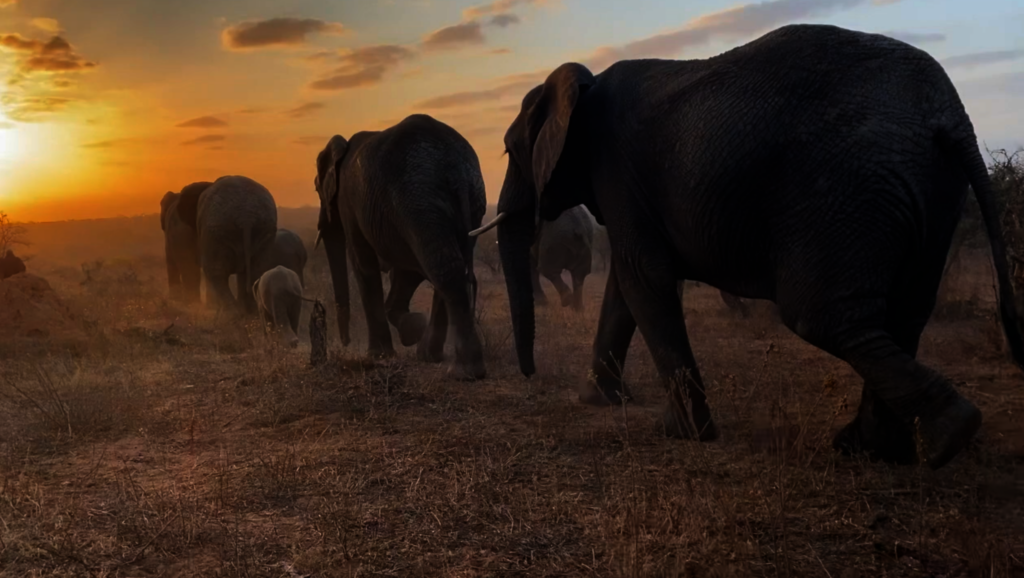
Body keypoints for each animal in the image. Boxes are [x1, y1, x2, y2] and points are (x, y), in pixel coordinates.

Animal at [196, 175, 278, 314]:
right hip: (265, 229)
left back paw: (233, 316)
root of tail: (246, 217)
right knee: (259, 269)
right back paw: (250, 314)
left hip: (217, 229)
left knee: (215, 272)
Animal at [313, 114, 487, 380]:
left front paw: (379, 355)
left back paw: (463, 371)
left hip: (417, 198)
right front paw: (411, 330)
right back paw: (432, 357)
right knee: (445, 263)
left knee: (441, 267)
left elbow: (362, 261)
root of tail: (454, 165)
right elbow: (407, 270)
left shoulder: (348, 201)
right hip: (464, 197)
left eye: (316, 187)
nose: (344, 343)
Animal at [473, 24, 1024, 470]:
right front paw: (600, 401)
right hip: (929, 186)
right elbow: (626, 286)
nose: (528, 375)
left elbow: (642, 276)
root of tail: (951, 117)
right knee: (904, 312)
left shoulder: (617, 170)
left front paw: (680, 434)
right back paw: (874, 449)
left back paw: (945, 435)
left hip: (847, 189)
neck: (577, 88)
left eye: (509, 150)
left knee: (823, 317)